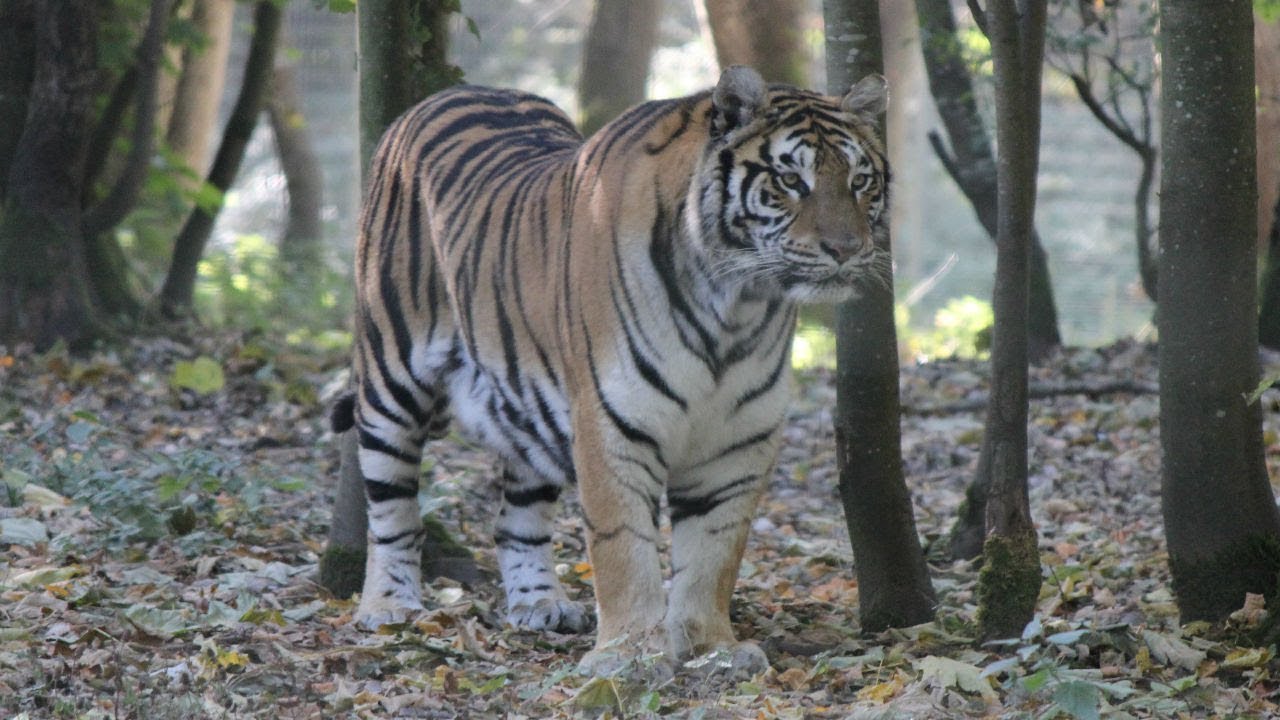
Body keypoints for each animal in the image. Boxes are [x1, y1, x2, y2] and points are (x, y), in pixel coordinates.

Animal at [333, 65, 891, 676]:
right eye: (791, 180)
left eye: (861, 181)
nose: (847, 249)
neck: (736, 308)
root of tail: (446, 94)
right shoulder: (612, 421)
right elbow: (623, 544)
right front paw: (628, 656)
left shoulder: (738, 438)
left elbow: (714, 551)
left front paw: (712, 648)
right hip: (391, 379)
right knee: (391, 508)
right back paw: (389, 606)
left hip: (526, 401)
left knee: (516, 517)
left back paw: (541, 605)